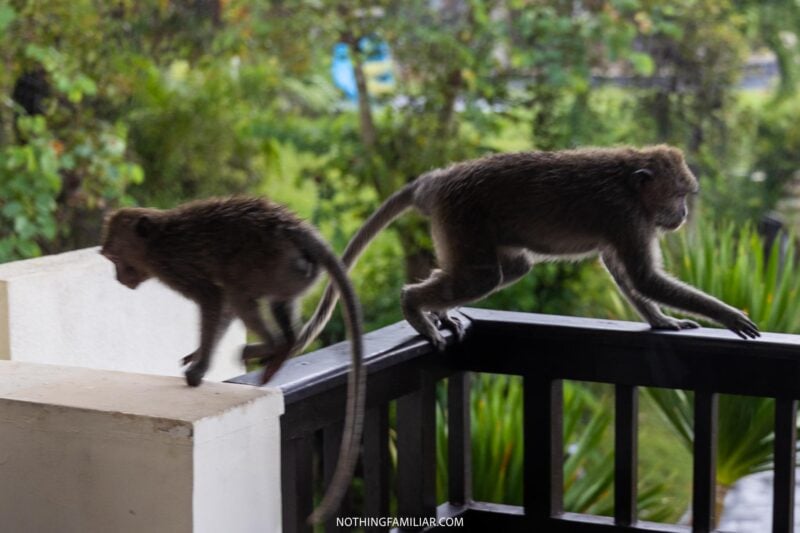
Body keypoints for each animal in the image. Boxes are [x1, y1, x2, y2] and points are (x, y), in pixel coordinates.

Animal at [100, 196, 364, 524]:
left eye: (114, 257)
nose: (119, 279)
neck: (157, 238)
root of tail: (291, 226)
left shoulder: (173, 265)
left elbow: (213, 296)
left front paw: (200, 368)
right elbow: (222, 304)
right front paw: (198, 355)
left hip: (268, 263)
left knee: (238, 291)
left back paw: (274, 347)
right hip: (296, 272)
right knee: (270, 300)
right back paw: (285, 346)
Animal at [252, 145, 758, 363]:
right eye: (680, 196)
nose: (682, 214)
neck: (630, 182)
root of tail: (436, 180)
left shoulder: (627, 222)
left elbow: (626, 273)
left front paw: (661, 320)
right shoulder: (625, 215)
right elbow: (643, 276)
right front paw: (729, 315)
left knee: (510, 268)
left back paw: (437, 310)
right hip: (462, 216)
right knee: (483, 276)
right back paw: (415, 306)